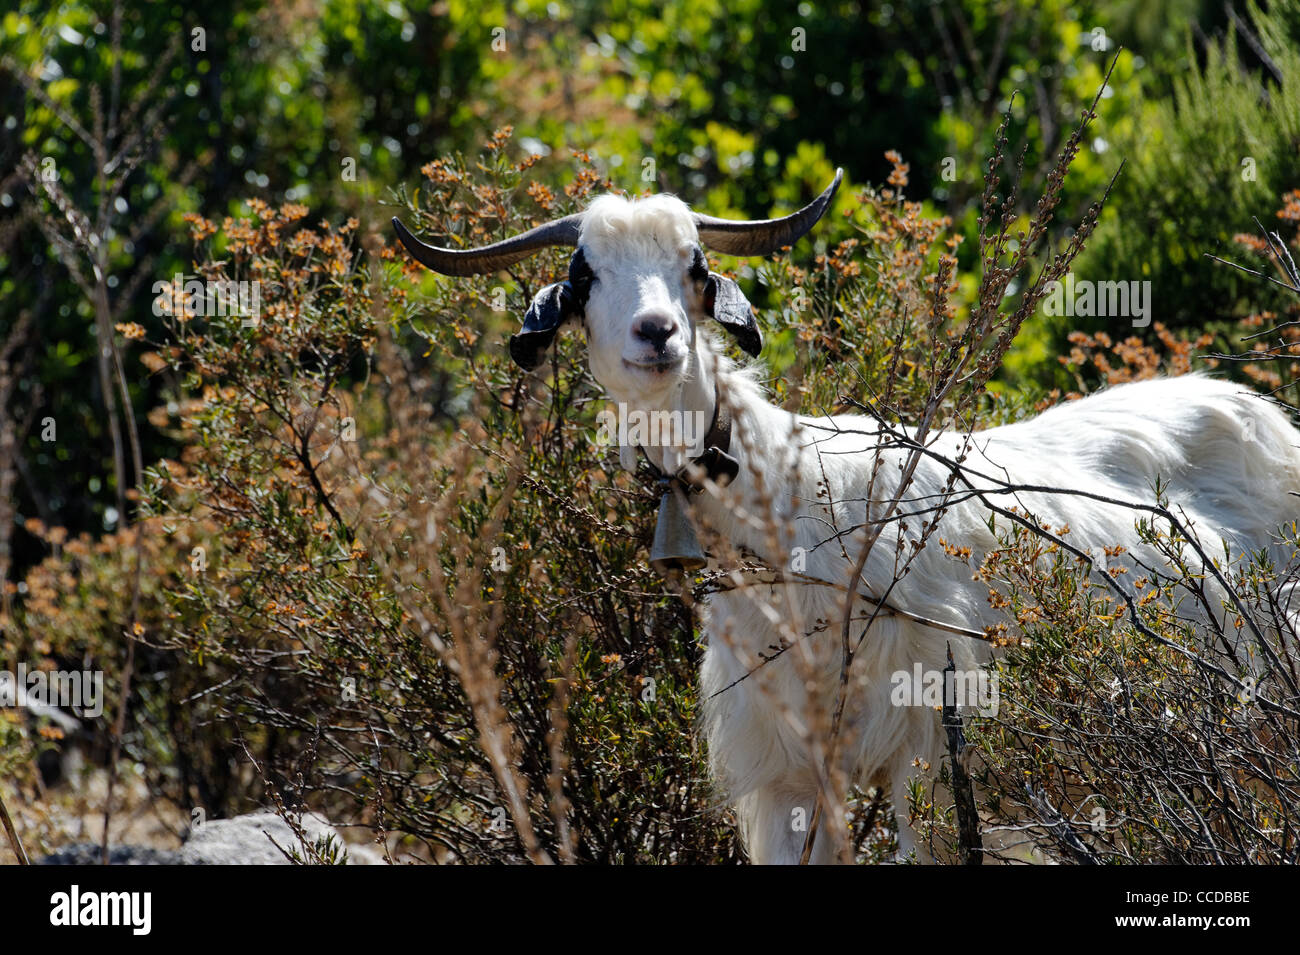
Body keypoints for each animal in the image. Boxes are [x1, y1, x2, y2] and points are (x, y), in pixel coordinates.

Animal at [393, 173, 1300, 864]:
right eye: (585, 276)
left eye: (693, 264)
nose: (657, 334)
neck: (788, 504)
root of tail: (1265, 412)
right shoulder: (789, 774)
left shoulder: (927, 748)